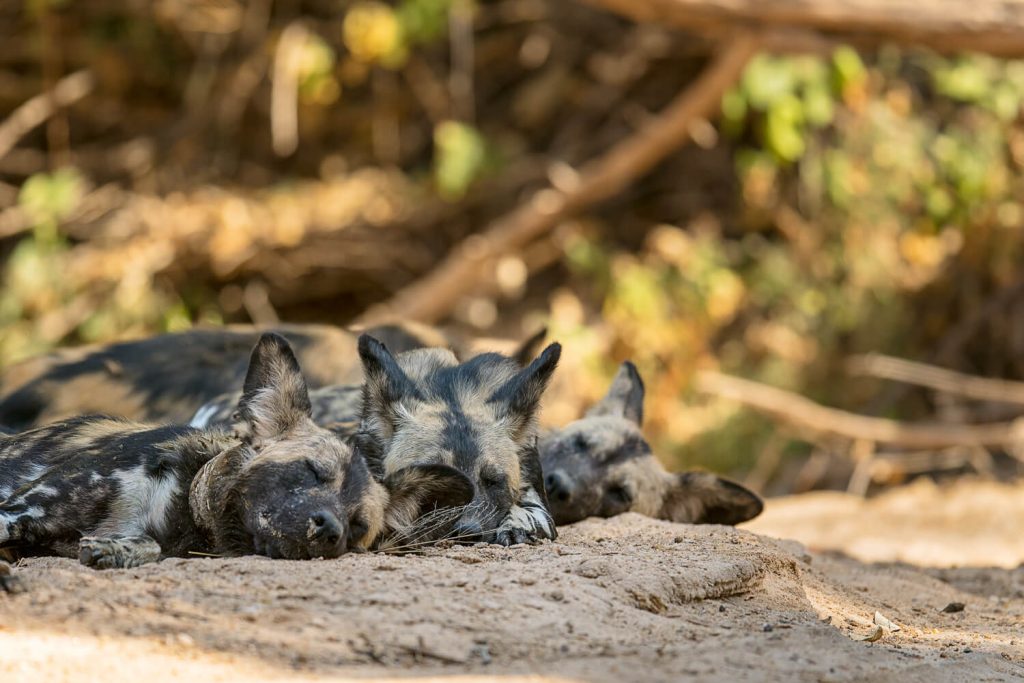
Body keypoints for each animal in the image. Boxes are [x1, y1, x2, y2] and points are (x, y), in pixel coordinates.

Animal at [0, 334, 471, 569]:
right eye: (312, 471)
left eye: (358, 527)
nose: (331, 530)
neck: (177, 500)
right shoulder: (18, 510)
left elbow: (146, 548)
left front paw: (117, 550)